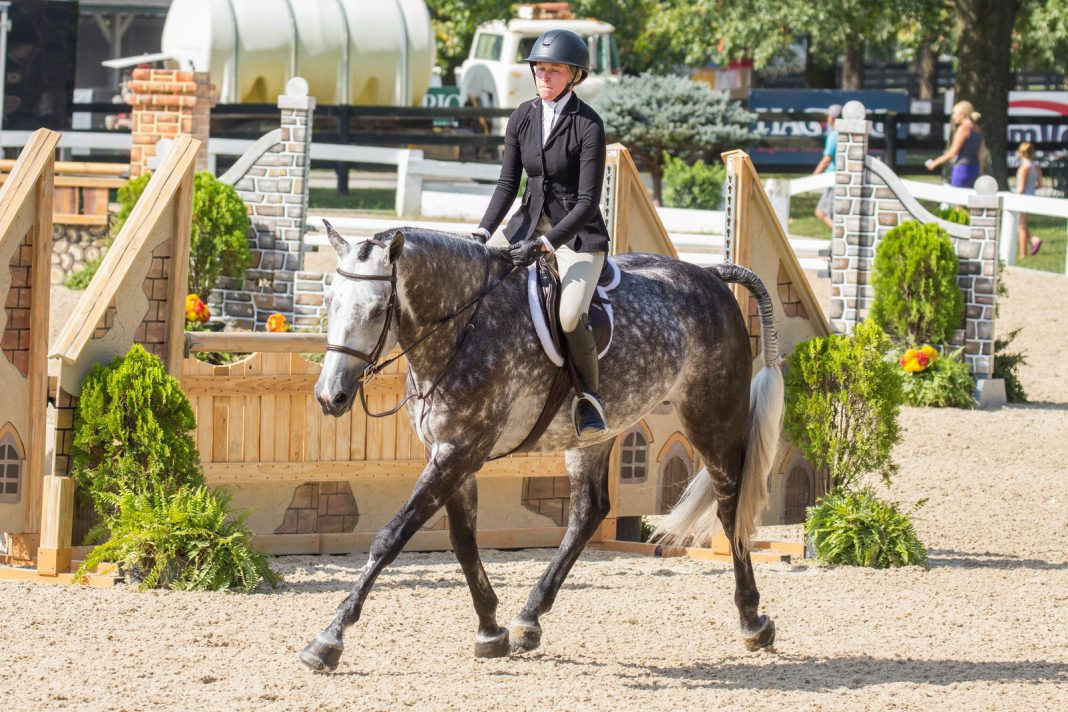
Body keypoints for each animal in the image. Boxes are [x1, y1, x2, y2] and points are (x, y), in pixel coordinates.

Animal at [299, 223, 784, 672]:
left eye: (376, 309)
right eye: (330, 303)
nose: (329, 397)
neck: (463, 327)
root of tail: (709, 276)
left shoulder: (459, 451)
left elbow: (392, 536)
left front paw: (328, 639)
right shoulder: (451, 454)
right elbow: (463, 540)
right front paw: (490, 630)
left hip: (711, 419)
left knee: (729, 505)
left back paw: (753, 620)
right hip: (595, 435)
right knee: (589, 511)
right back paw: (529, 618)